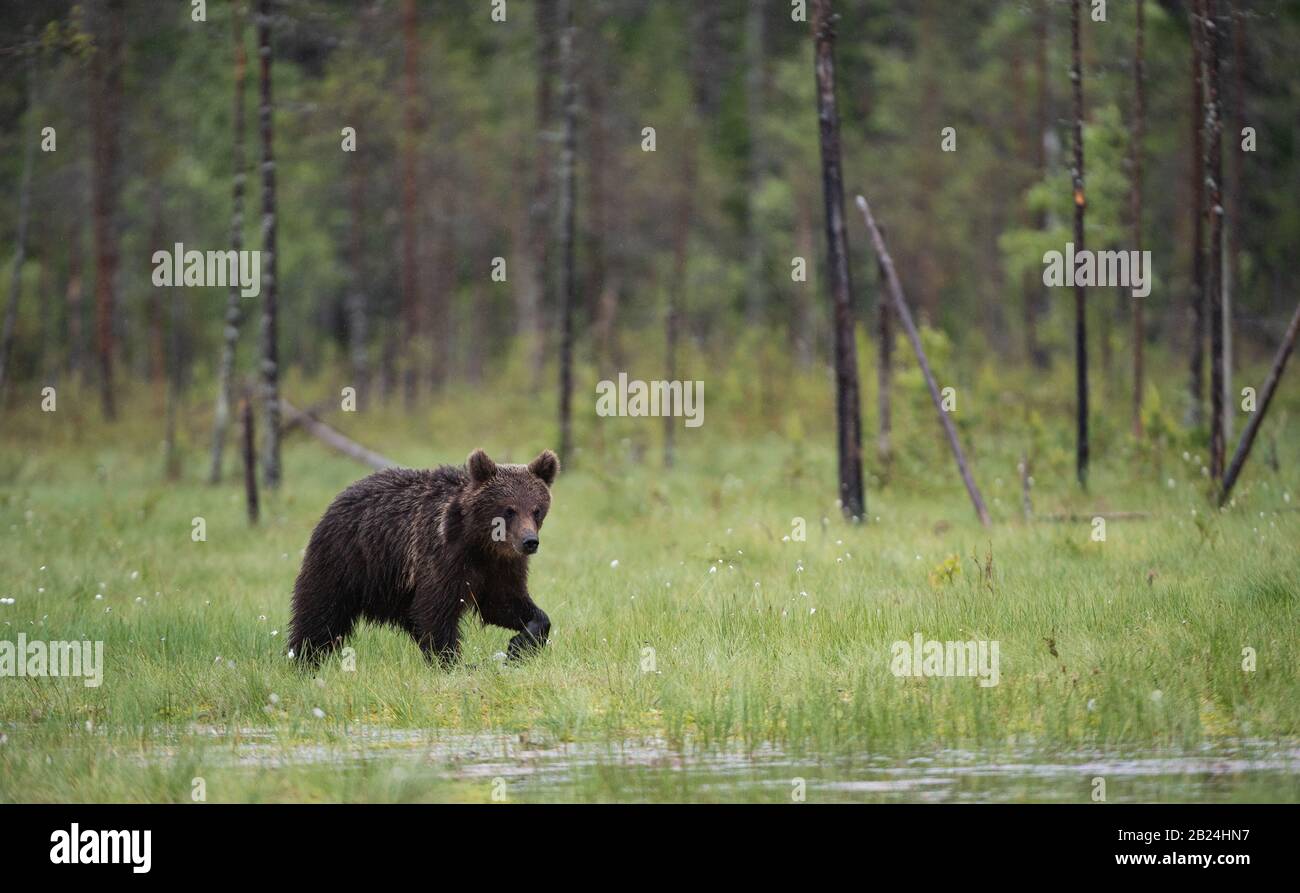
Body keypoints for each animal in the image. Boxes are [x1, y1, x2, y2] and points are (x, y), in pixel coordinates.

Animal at [287, 448, 559, 667]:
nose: (529, 542)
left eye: (536, 510)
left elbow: (503, 604)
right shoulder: (443, 557)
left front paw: (520, 644)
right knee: (321, 612)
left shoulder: (501, 567)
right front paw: (452, 663)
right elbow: (437, 611)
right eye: (508, 509)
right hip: (346, 560)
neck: (481, 545)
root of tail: (341, 495)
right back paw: (303, 660)